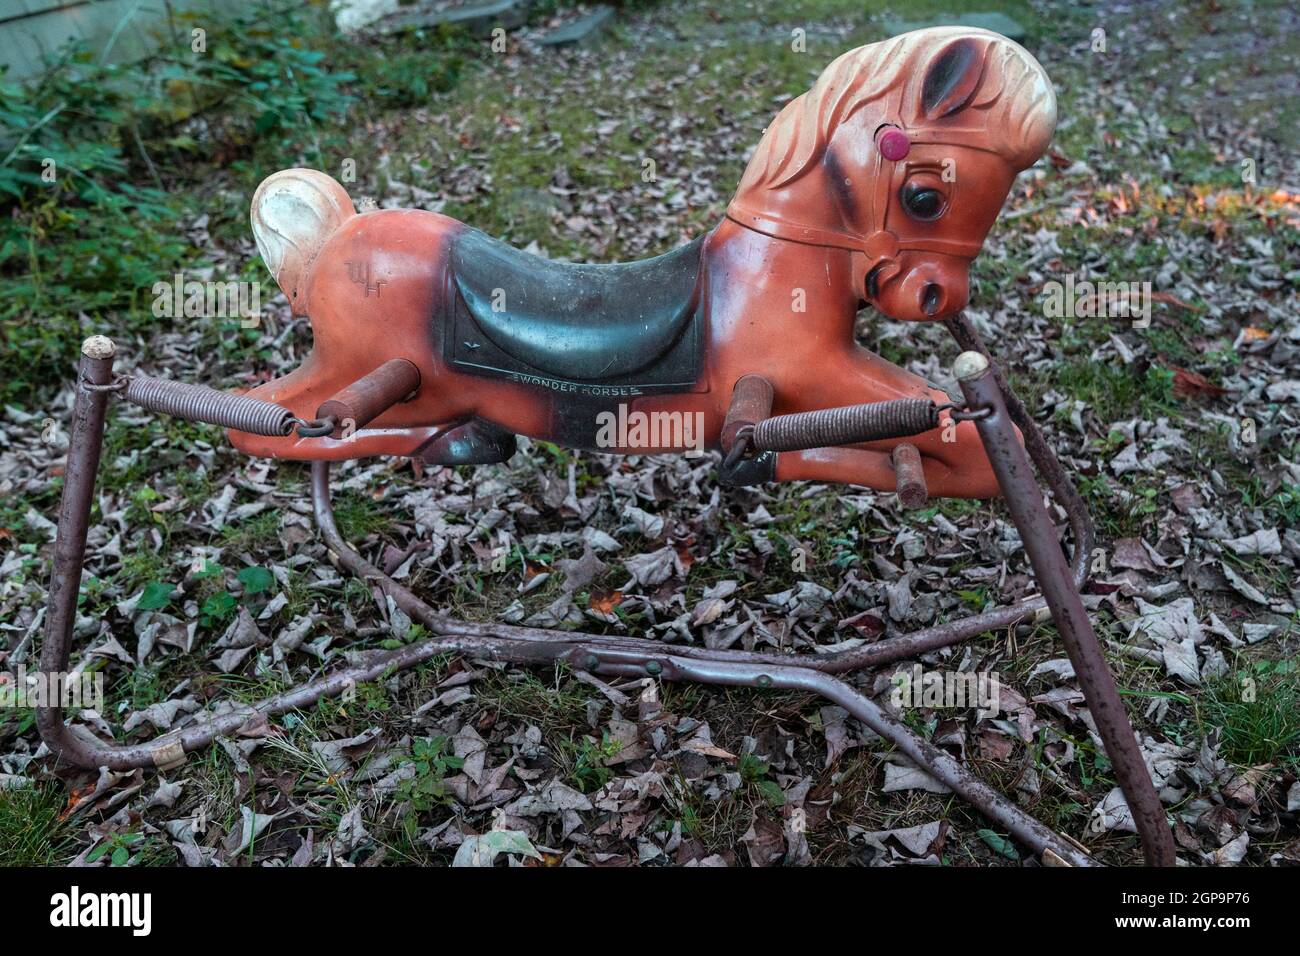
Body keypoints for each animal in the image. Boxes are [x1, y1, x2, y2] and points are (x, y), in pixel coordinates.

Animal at [233, 26, 1056, 499]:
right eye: (925, 196)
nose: (937, 295)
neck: (771, 279)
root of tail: (333, 239)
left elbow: (961, 455)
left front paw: (759, 467)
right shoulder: (812, 380)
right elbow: (973, 450)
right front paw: (756, 465)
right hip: (366, 370)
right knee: (278, 427)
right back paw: (468, 440)